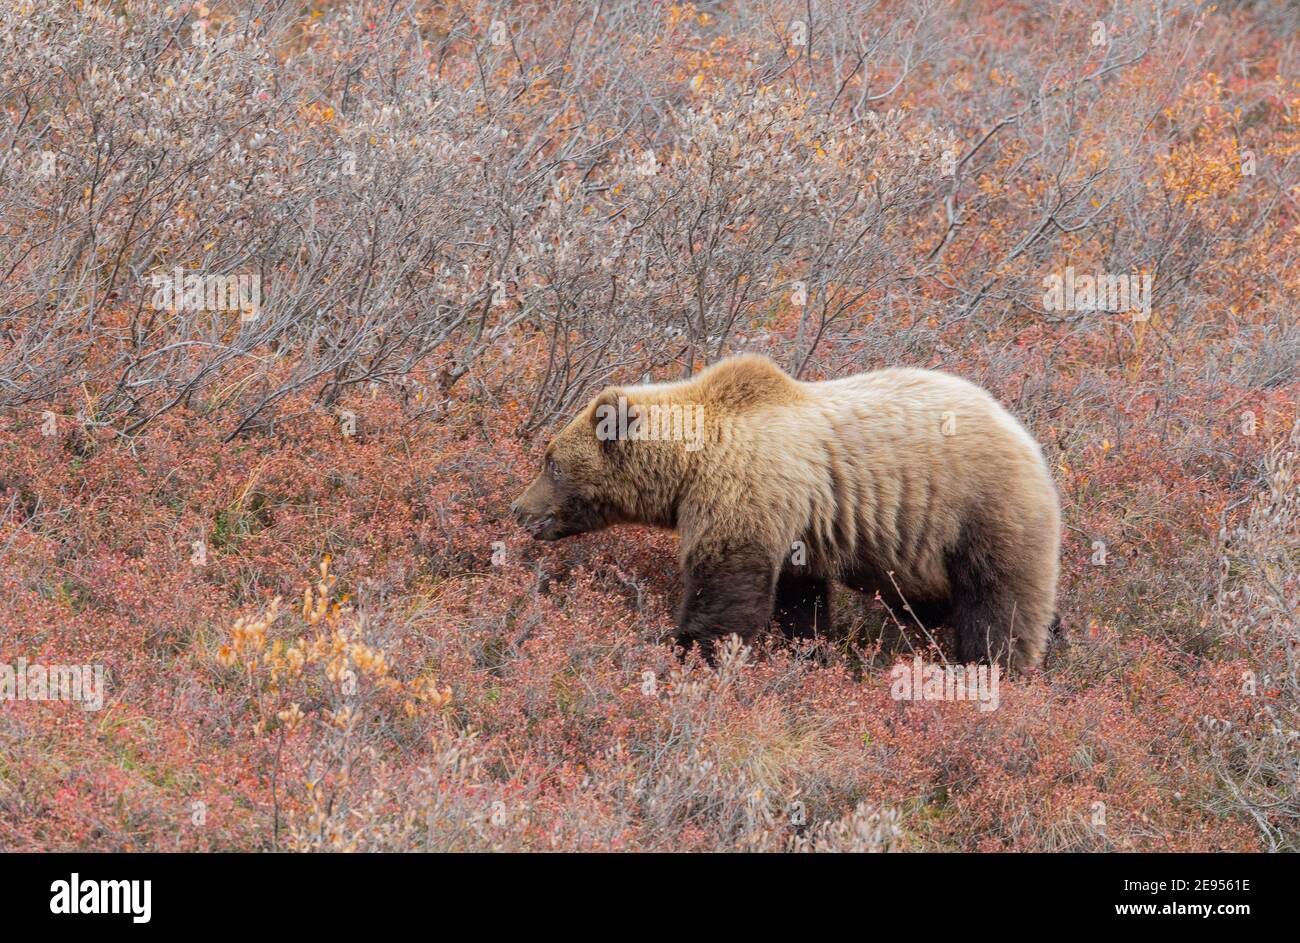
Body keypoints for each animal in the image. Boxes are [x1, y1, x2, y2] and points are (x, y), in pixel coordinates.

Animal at [510, 354, 1061, 671]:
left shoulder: (744, 489)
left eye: (551, 463)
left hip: (983, 511)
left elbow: (726, 590)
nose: (518, 510)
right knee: (928, 598)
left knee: (999, 606)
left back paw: (993, 670)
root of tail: (1027, 436)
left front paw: (690, 652)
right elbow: (800, 601)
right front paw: (808, 651)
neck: (688, 466)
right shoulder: (800, 529)